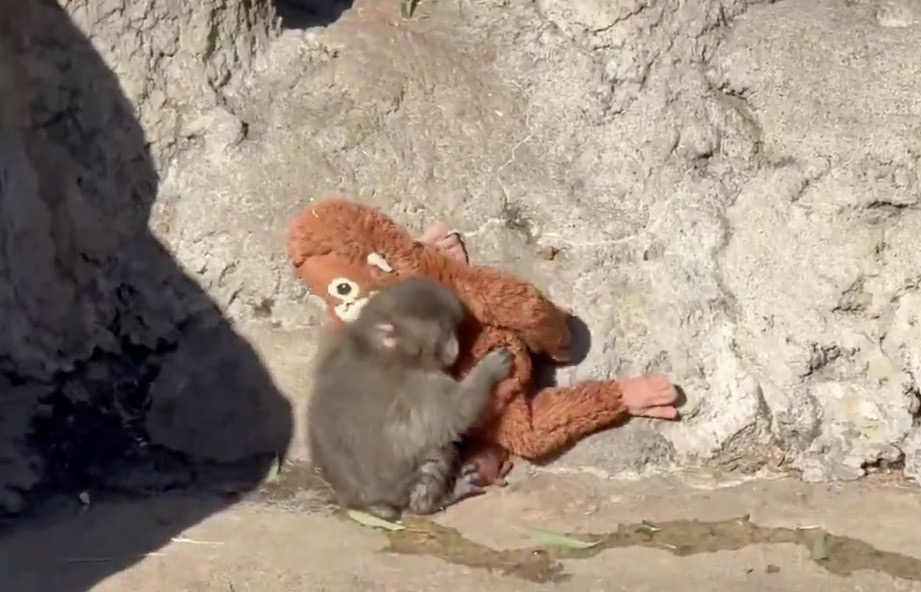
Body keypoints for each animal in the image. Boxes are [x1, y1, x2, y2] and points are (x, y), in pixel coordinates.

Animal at [307, 276, 513, 521]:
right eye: (445, 333)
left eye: (453, 329)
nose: (455, 347)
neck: (379, 352)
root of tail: (359, 501)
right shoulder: (421, 386)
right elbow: (461, 409)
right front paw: (490, 368)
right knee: (436, 451)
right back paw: (435, 501)